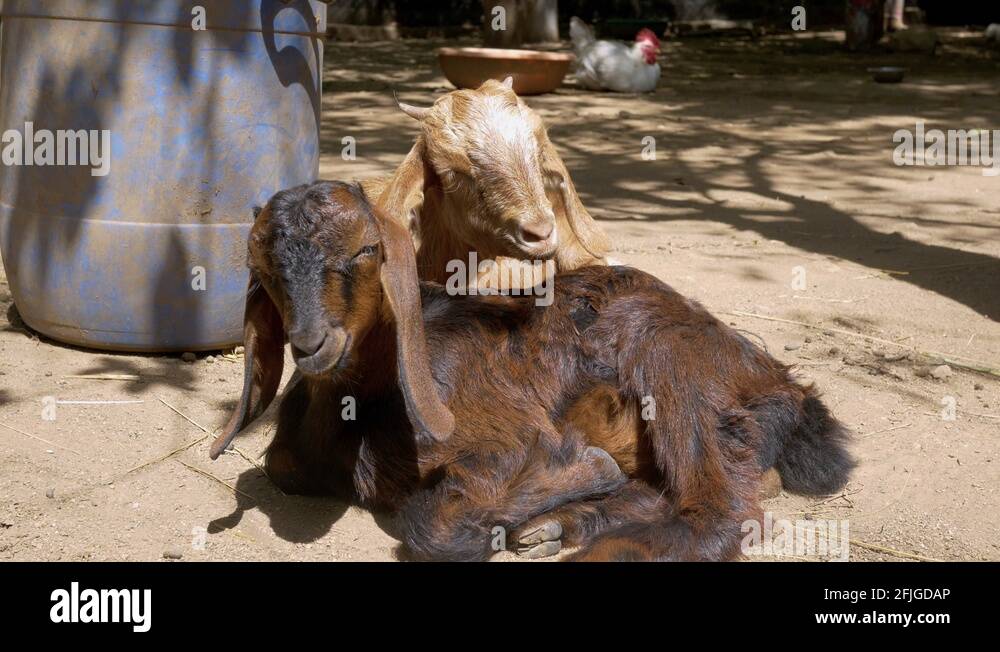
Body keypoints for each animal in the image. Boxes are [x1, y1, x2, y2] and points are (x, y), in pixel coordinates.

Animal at [209, 180, 854, 561]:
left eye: (367, 252)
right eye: (263, 271)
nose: (311, 343)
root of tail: (785, 385)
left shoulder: (507, 435)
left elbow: (435, 527)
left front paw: (586, 469)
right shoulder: (291, 455)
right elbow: (281, 465)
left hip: (675, 358)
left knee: (718, 510)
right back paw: (557, 528)